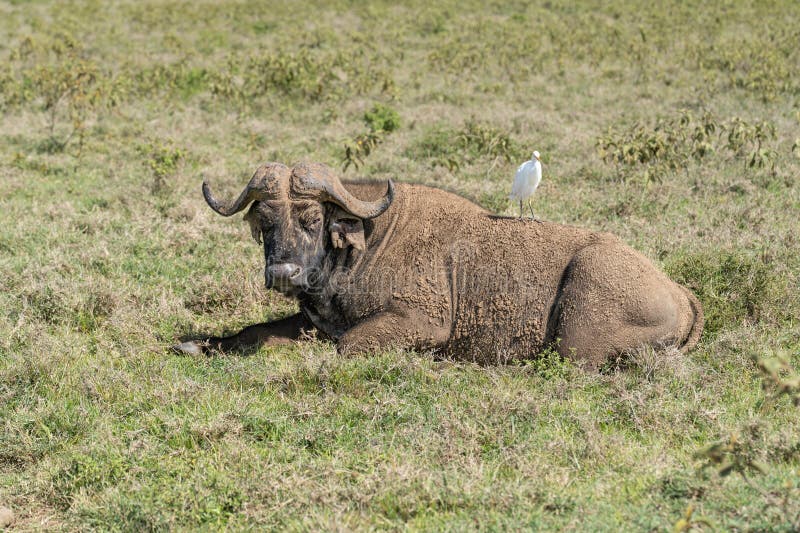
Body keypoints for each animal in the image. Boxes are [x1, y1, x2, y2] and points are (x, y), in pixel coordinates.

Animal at [174, 162, 703, 370]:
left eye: (310, 218)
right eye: (265, 221)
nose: (283, 274)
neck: (366, 244)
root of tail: (680, 293)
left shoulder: (420, 322)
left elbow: (348, 346)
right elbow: (252, 332)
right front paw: (198, 344)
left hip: (578, 327)